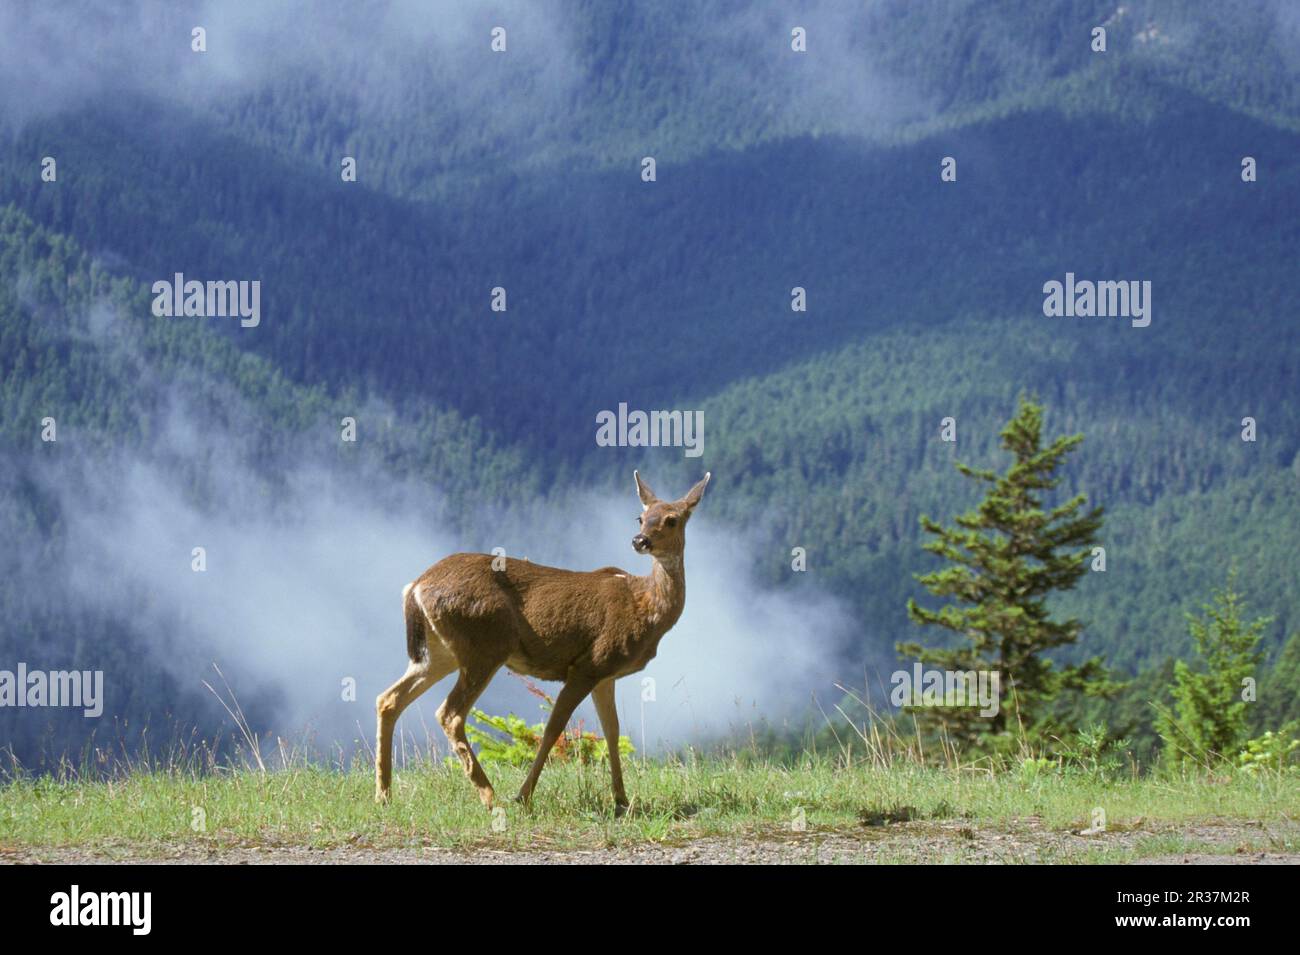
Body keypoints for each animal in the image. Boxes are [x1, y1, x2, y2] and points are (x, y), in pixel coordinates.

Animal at [375, 470, 710, 814]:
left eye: (671, 519)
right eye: (641, 517)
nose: (639, 540)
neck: (644, 605)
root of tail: (416, 586)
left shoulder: (607, 674)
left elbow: (612, 732)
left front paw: (622, 800)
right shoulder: (589, 663)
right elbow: (553, 729)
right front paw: (524, 795)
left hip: (440, 652)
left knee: (388, 699)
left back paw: (384, 794)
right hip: (485, 644)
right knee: (449, 713)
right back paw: (490, 796)